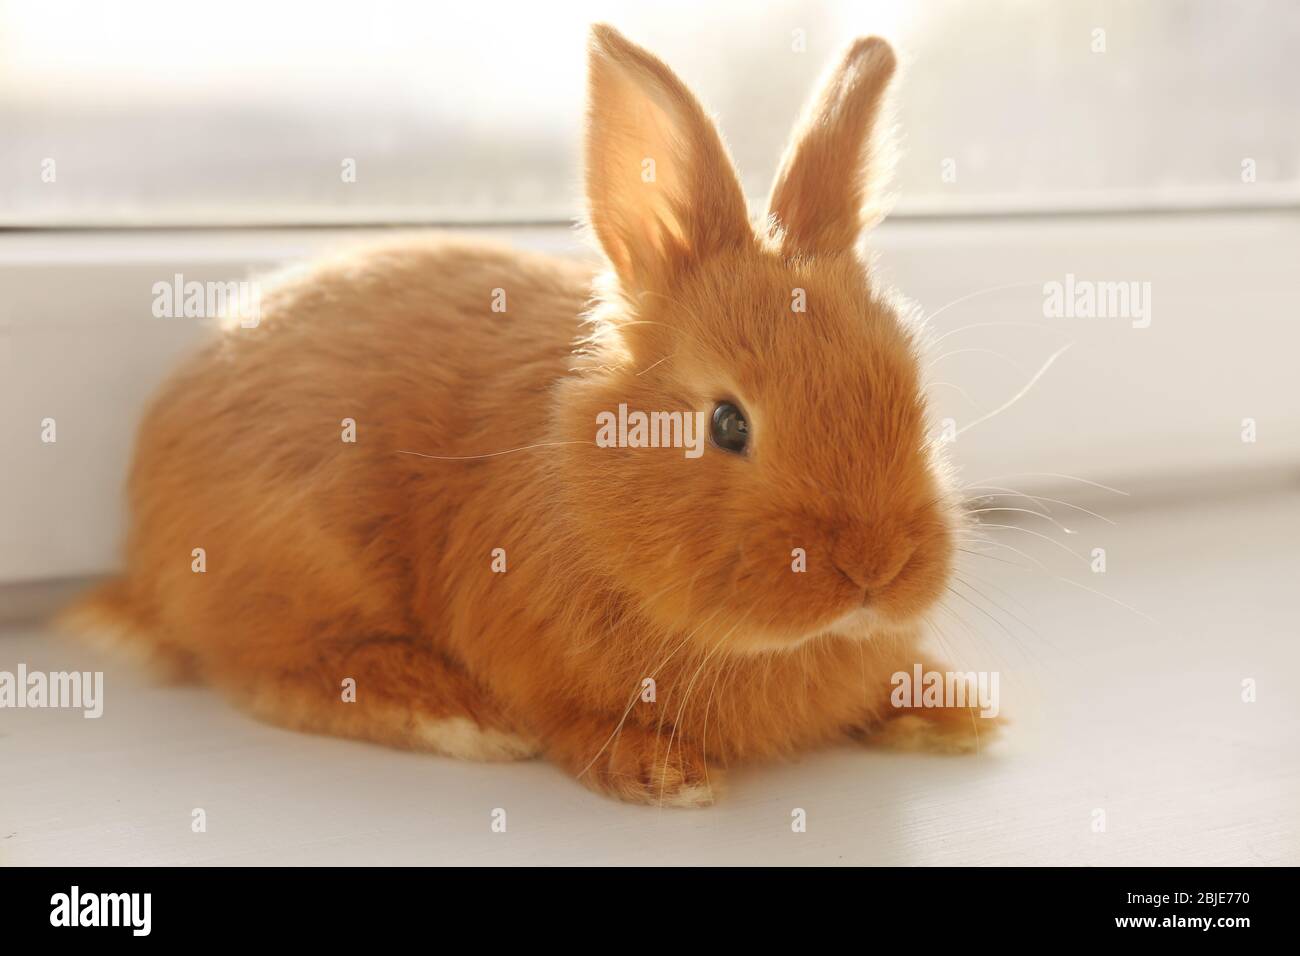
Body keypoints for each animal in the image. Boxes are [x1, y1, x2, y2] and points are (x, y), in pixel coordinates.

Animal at [64, 24, 997, 807]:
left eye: (910, 387)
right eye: (728, 425)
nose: (876, 566)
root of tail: (143, 558)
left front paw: (952, 707)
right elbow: (570, 723)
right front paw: (663, 773)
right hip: (305, 562)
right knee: (278, 672)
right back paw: (461, 717)